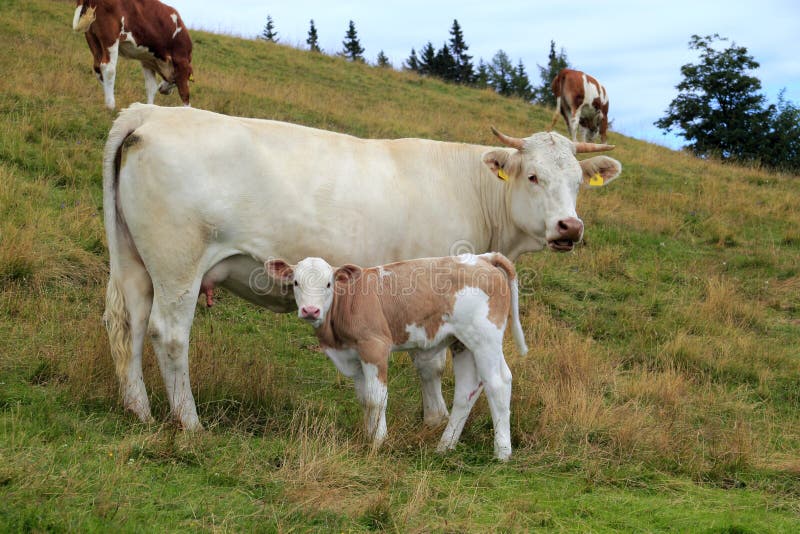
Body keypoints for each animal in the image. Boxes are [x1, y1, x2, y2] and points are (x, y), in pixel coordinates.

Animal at [102, 103, 622, 431]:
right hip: (178, 263)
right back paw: (189, 421)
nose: (570, 226)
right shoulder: (427, 286)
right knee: (169, 334)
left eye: (578, 182)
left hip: (134, 262)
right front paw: (434, 420)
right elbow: (430, 362)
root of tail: (153, 112)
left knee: (127, 325)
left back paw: (138, 410)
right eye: (533, 176)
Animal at [265, 253, 528, 460]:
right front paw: (367, 435)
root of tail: (483, 257)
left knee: (498, 383)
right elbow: (364, 398)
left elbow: (377, 398)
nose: (310, 310)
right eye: (296, 282)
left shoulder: (375, 347)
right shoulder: (354, 357)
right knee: (467, 390)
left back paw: (502, 452)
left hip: (485, 338)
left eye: (329, 284)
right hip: (463, 342)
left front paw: (378, 441)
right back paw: (445, 445)